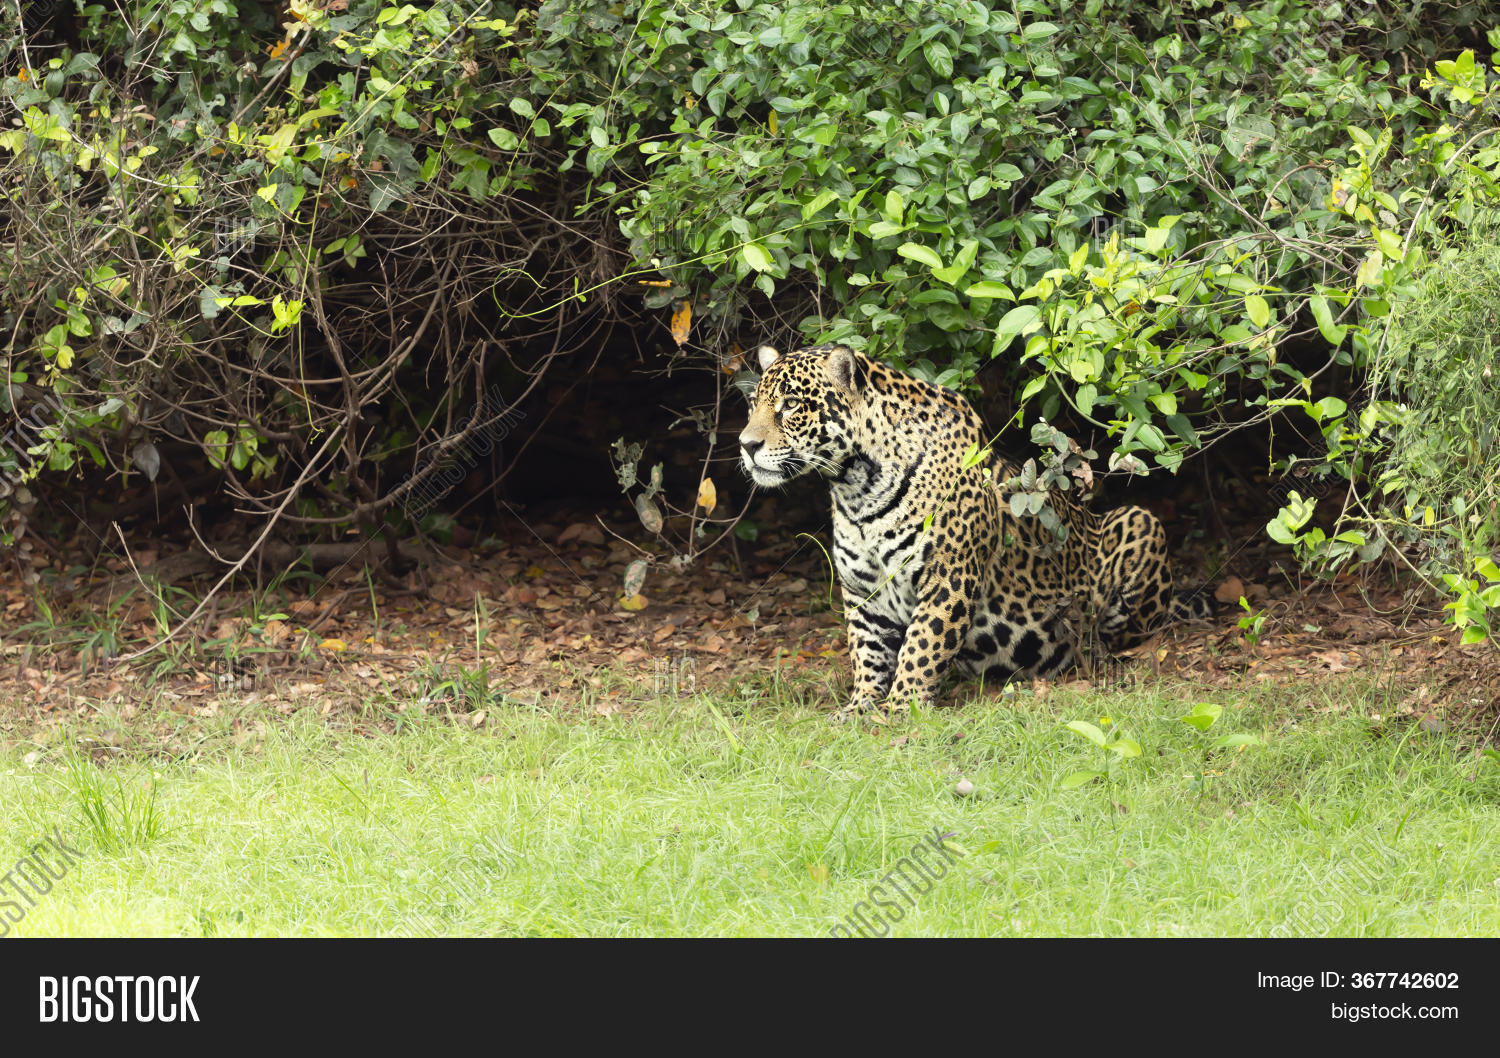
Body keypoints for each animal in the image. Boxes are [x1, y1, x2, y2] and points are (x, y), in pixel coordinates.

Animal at [737, 342, 1211, 723]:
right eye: (753, 405)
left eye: (791, 405)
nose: (746, 444)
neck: (856, 485)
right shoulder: (863, 589)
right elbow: (867, 652)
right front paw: (860, 706)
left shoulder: (947, 576)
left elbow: (921, 646)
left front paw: (899, 708)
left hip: (1140, 522)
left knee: (1124, 632)